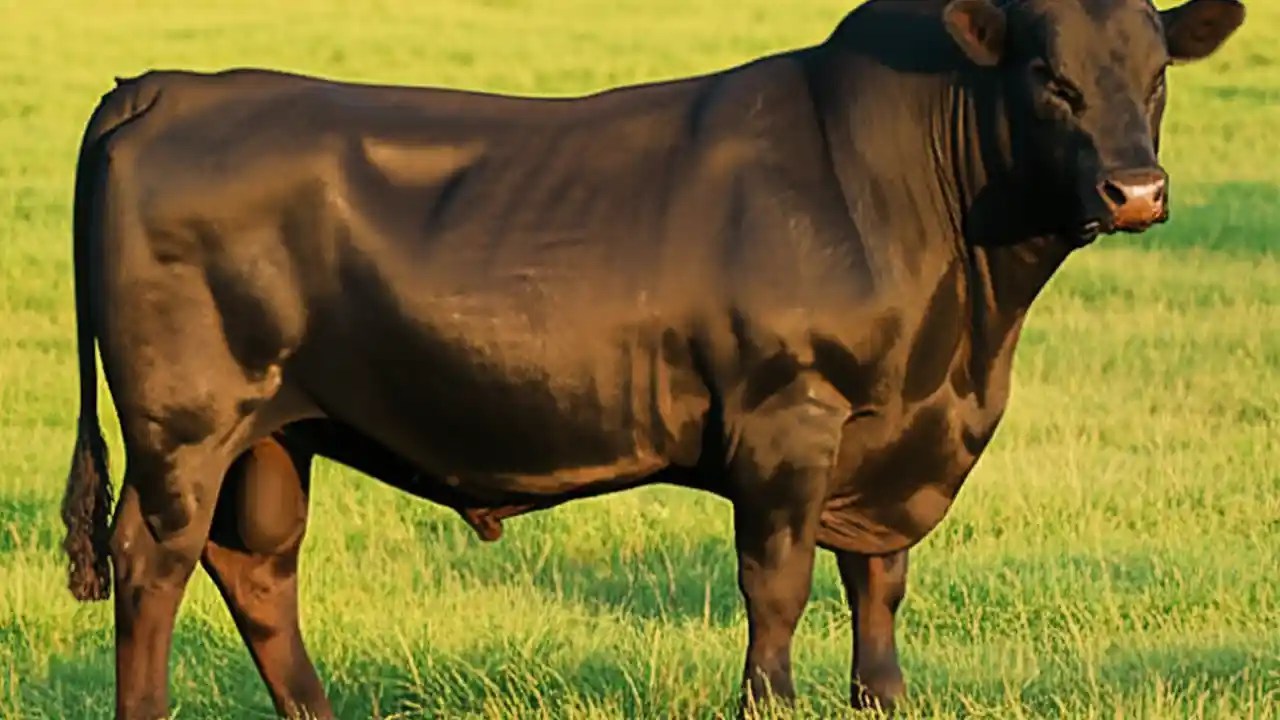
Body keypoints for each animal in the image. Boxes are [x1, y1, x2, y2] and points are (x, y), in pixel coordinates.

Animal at [59, 0, 1244, 717]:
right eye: (1049, 77)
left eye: (1156, 73)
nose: (1136, 190)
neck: (962, 338)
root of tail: (163, 84)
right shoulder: (788, 416)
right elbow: (777, 586)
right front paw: (767, 701)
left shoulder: (896, 442)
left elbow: (880, 588)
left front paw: (882, 699)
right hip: (186, 425)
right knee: (155, 562)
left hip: (278, 430)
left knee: (256, 565)